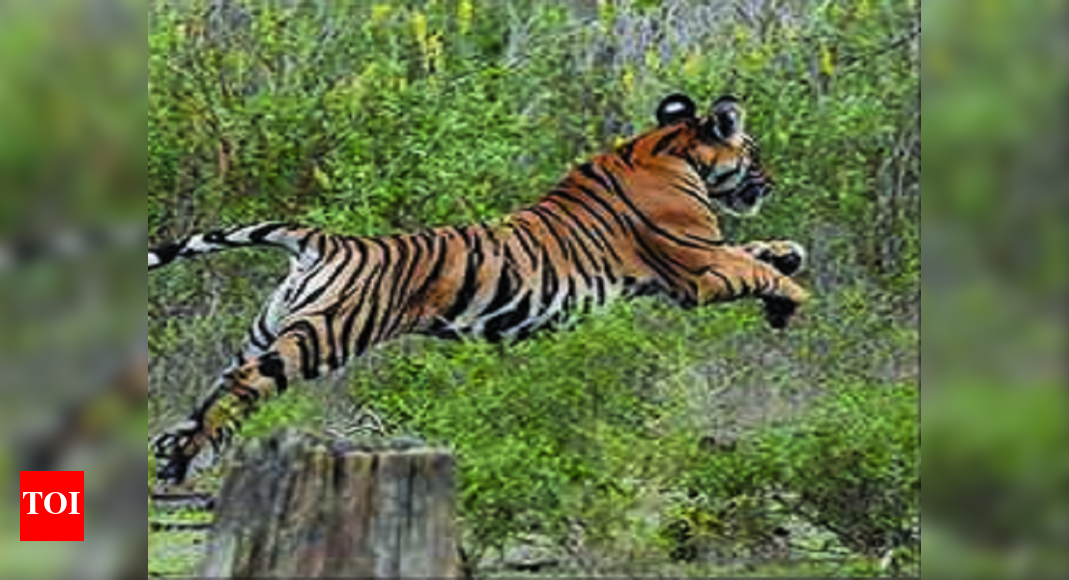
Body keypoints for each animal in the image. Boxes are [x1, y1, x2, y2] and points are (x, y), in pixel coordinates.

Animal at [148, 93, 810, 485]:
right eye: (753, 150)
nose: (772, 182)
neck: (667, 148)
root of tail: (326, 241)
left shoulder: (699, 263)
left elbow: (758, 251)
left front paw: (789, 255)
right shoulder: (698, 270)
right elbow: (753, 267)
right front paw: (792, 300)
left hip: (271, 328)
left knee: (220, 385)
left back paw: (179, 446)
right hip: (323, 336)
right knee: (241, 384)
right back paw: (180, 459)